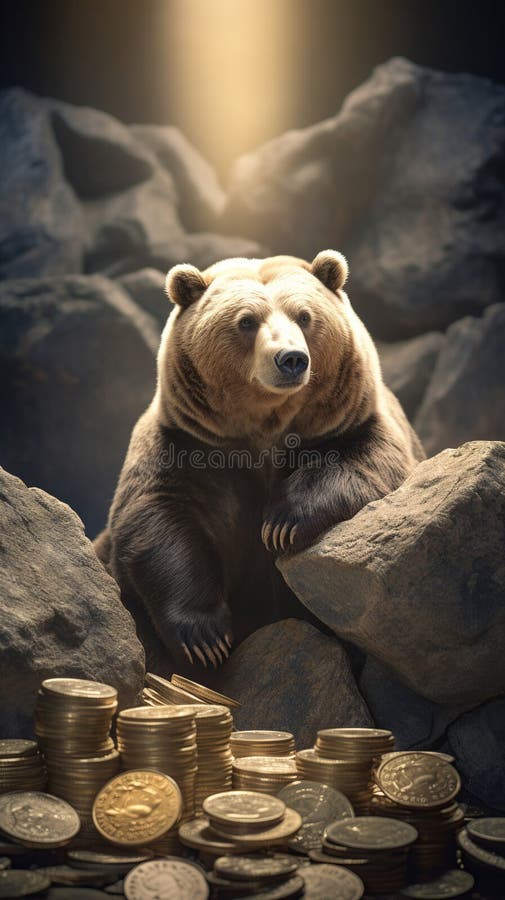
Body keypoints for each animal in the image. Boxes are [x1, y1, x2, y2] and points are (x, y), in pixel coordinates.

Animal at [95, 250, 425, 671]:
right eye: (247, 321)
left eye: (304, 316)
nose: (292, 359)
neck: (266, 431)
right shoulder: (188, 447)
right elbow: (155, 517)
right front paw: (205, 639)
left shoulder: (354, 423)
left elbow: (370, 467)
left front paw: (282, 523)